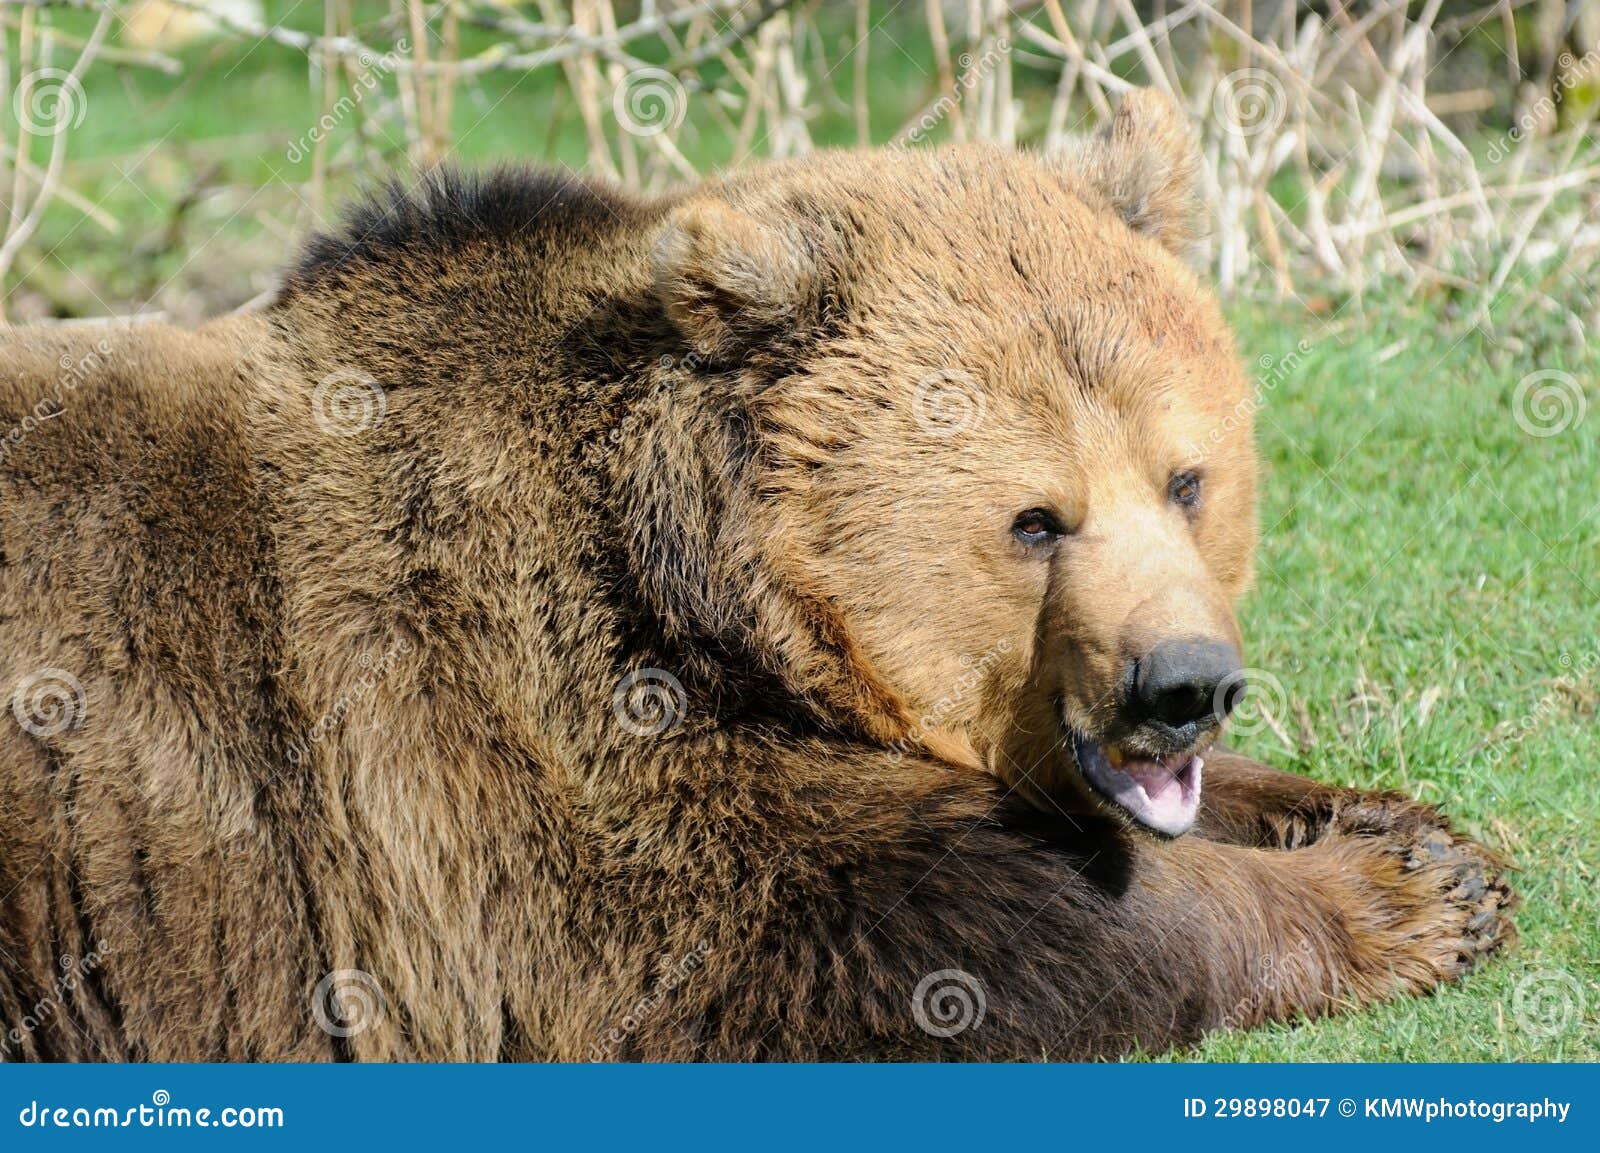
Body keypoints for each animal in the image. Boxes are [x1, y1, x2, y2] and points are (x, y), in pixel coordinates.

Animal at [0, 89, 1512, 1061]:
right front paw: (1392, 901)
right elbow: (941, 917)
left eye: (1186, 479)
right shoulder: (514, 754)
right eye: (1037, 519)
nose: (1182, 683)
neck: (703, 600)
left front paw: (1417, 835)